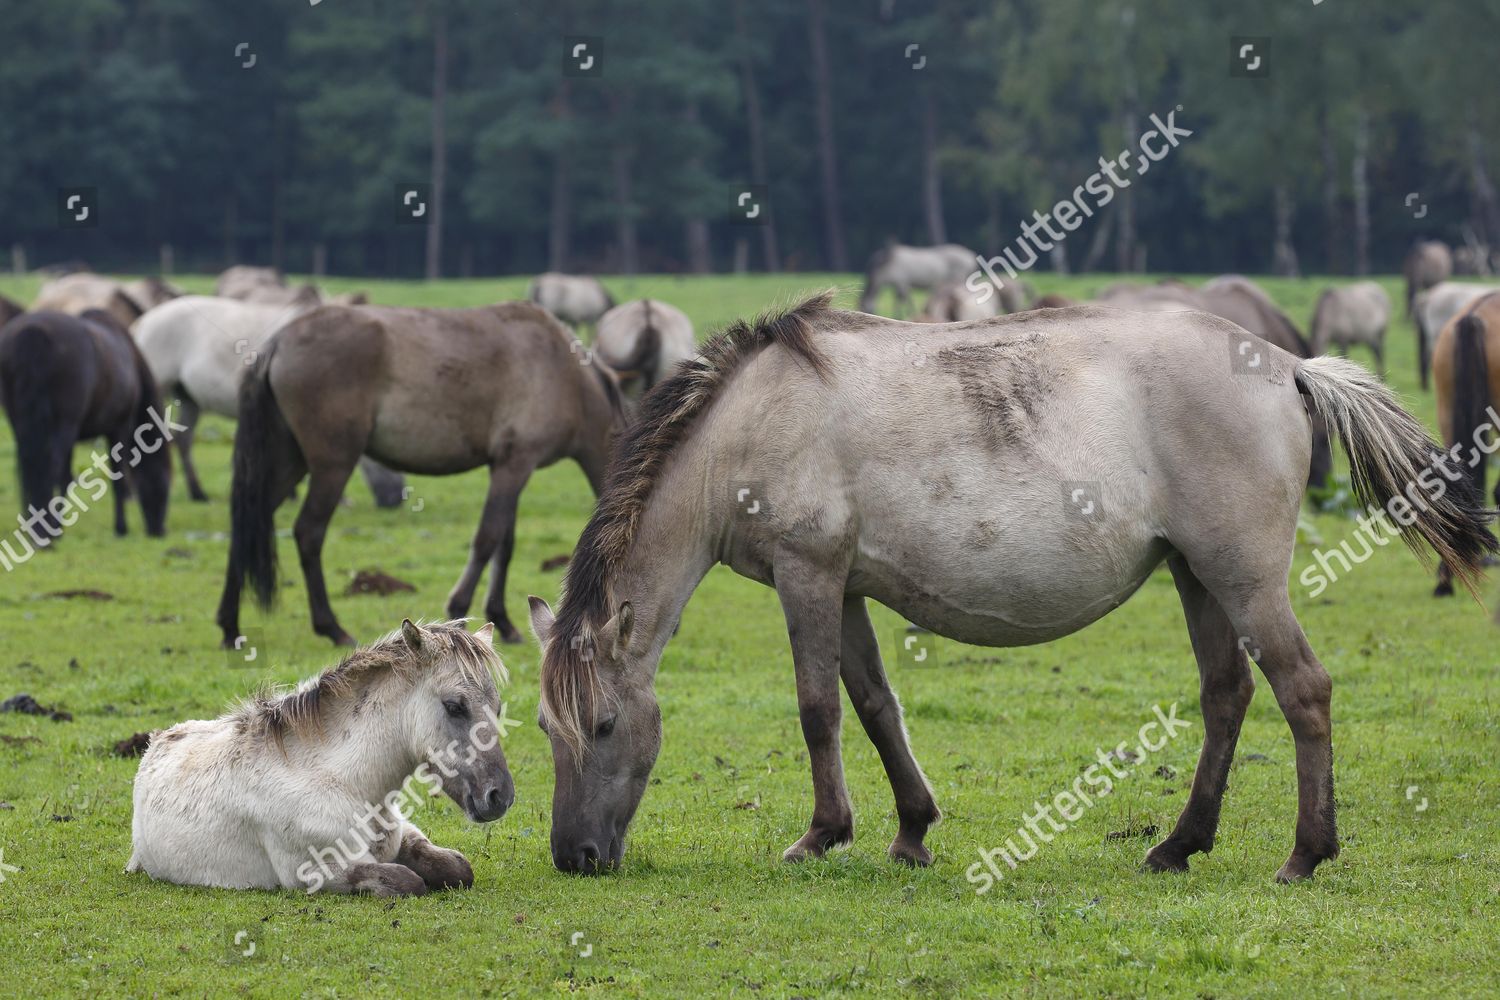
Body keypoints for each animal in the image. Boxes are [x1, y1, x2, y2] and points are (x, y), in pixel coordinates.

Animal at [0, 310, 172, 543]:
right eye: (164, 484)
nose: (159, 531)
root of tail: (33, 332)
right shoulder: (119, 429)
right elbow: (118, 479)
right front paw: (121, 529)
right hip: (64, 426)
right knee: (52, 471)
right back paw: (48, 531)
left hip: (23, 424)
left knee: (28, 470)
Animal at [128, 619, 513, 896]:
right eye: (454, 706)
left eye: (497, 708)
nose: (500, 797)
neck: (343, 781)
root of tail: (158, 740)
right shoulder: (319, 872)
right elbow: (408, 882)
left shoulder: (405, 834)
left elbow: (458, 868)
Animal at [217, 301, 627, 649]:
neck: (564, 373)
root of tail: (280, 341)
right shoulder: (514, 466)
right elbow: (488, 539)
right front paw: (460, 607)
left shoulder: (508, 470)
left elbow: (504, 546)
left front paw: (504, 621)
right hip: (332, 465)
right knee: (308, 532)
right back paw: (332, 628)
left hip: (291, 462)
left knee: (248, 525)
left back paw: (230, 627)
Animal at [528, 292, 1493, 883]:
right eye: (544, 727)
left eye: (604, 725)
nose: (573, 854)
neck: (748, 423)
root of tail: (1288, 365)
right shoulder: (845, 587)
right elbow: (873, 703)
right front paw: (911, 829)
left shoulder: (807, 577)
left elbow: (817, 707)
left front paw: (821, 833)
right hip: (1197, 577)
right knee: (1227, 696)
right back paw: (1179, 845)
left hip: (1243, 579)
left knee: (1304, 691)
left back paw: (1304, 854)